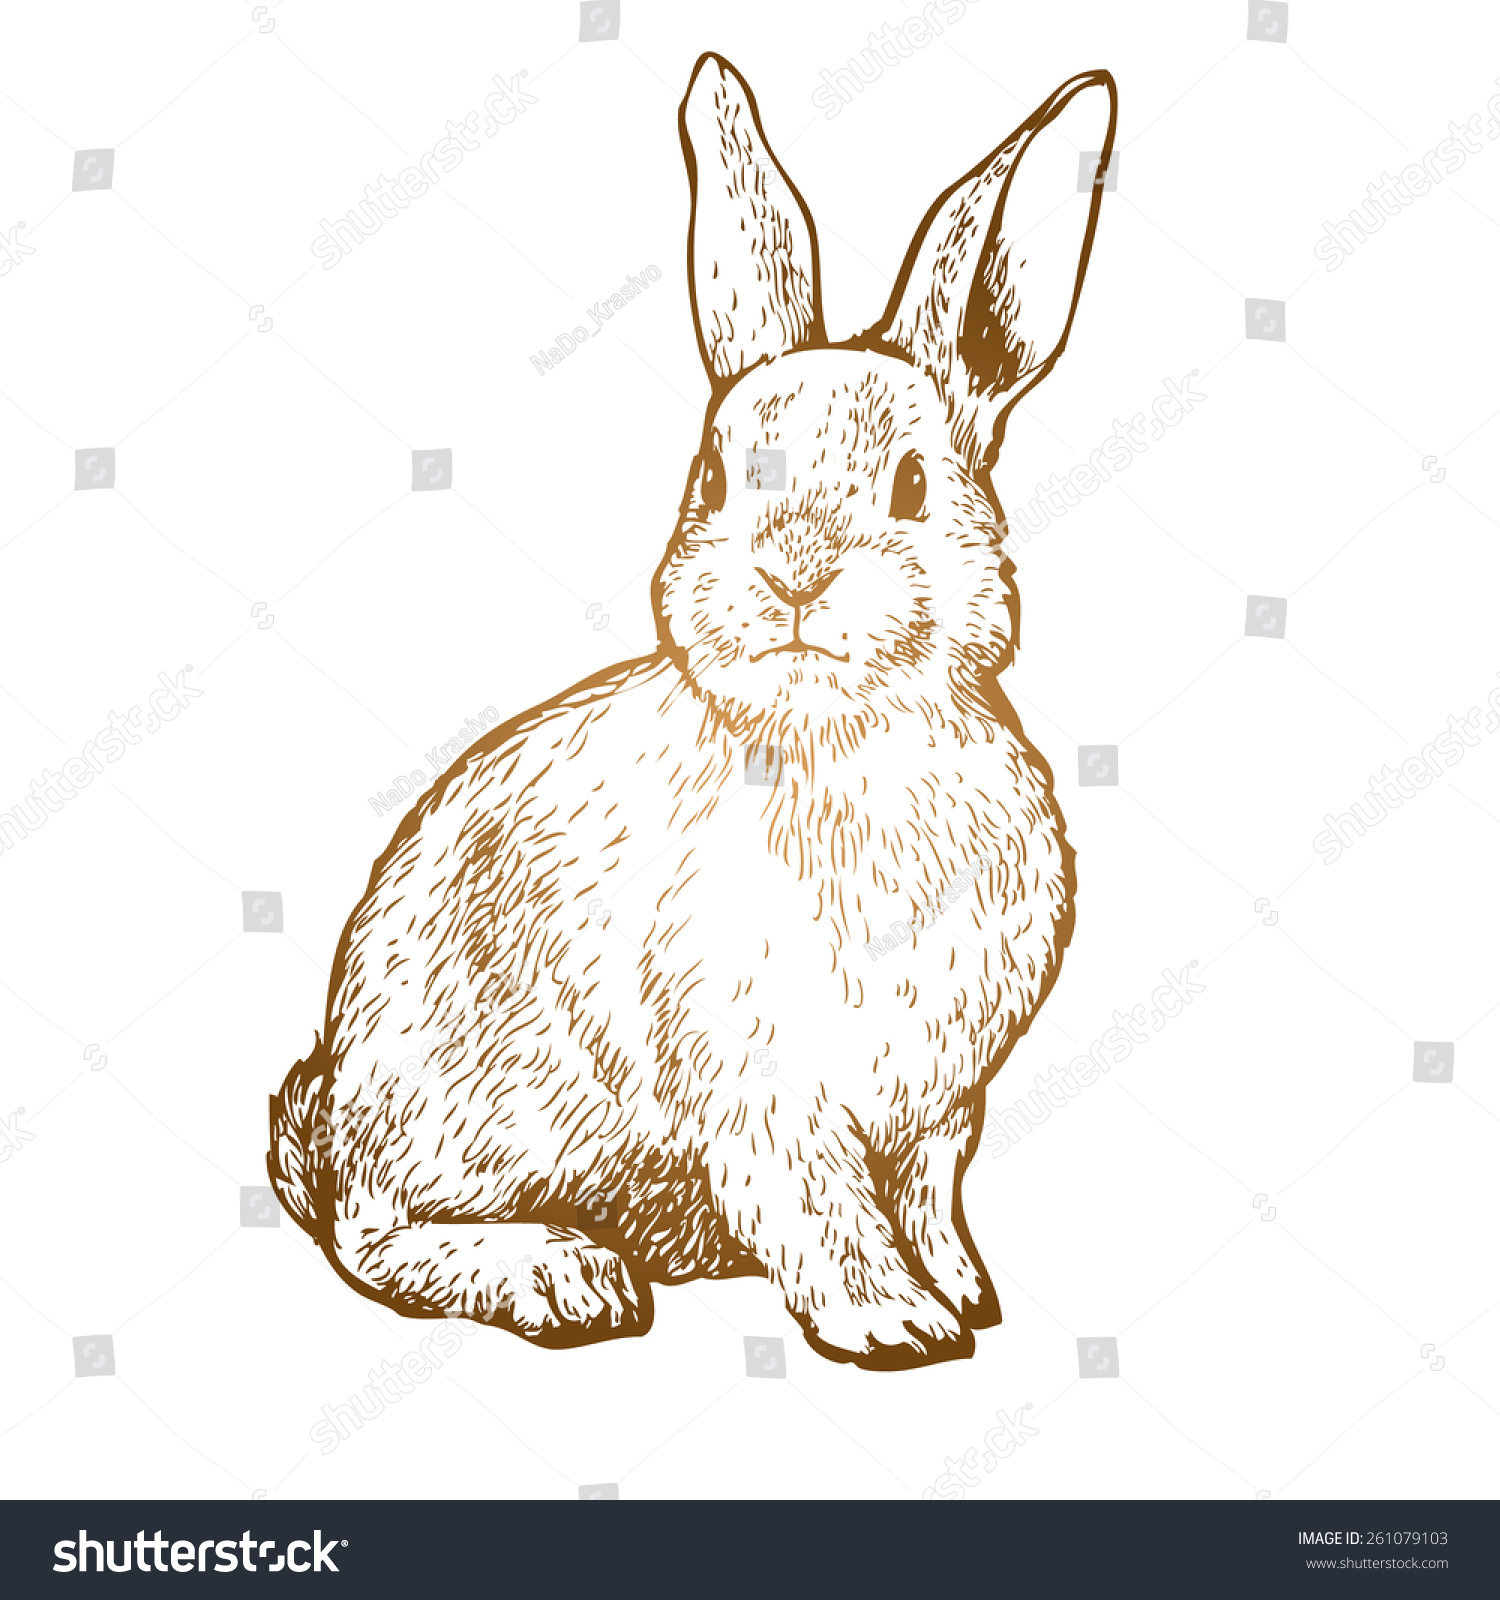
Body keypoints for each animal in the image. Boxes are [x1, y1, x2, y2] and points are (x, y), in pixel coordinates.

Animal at [269, 52, 1115, 1371]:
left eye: (912, 486)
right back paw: (565, 1277)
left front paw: (963, 1292)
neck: (839, 742)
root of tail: (334, 1125)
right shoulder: (763, 1083)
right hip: (452, 1119)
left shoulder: (936, 1108)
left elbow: (925, 1195)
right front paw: (895, 1322)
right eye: (715, 479)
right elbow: (819, 1206)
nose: (794, 576)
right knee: (377, 1237)